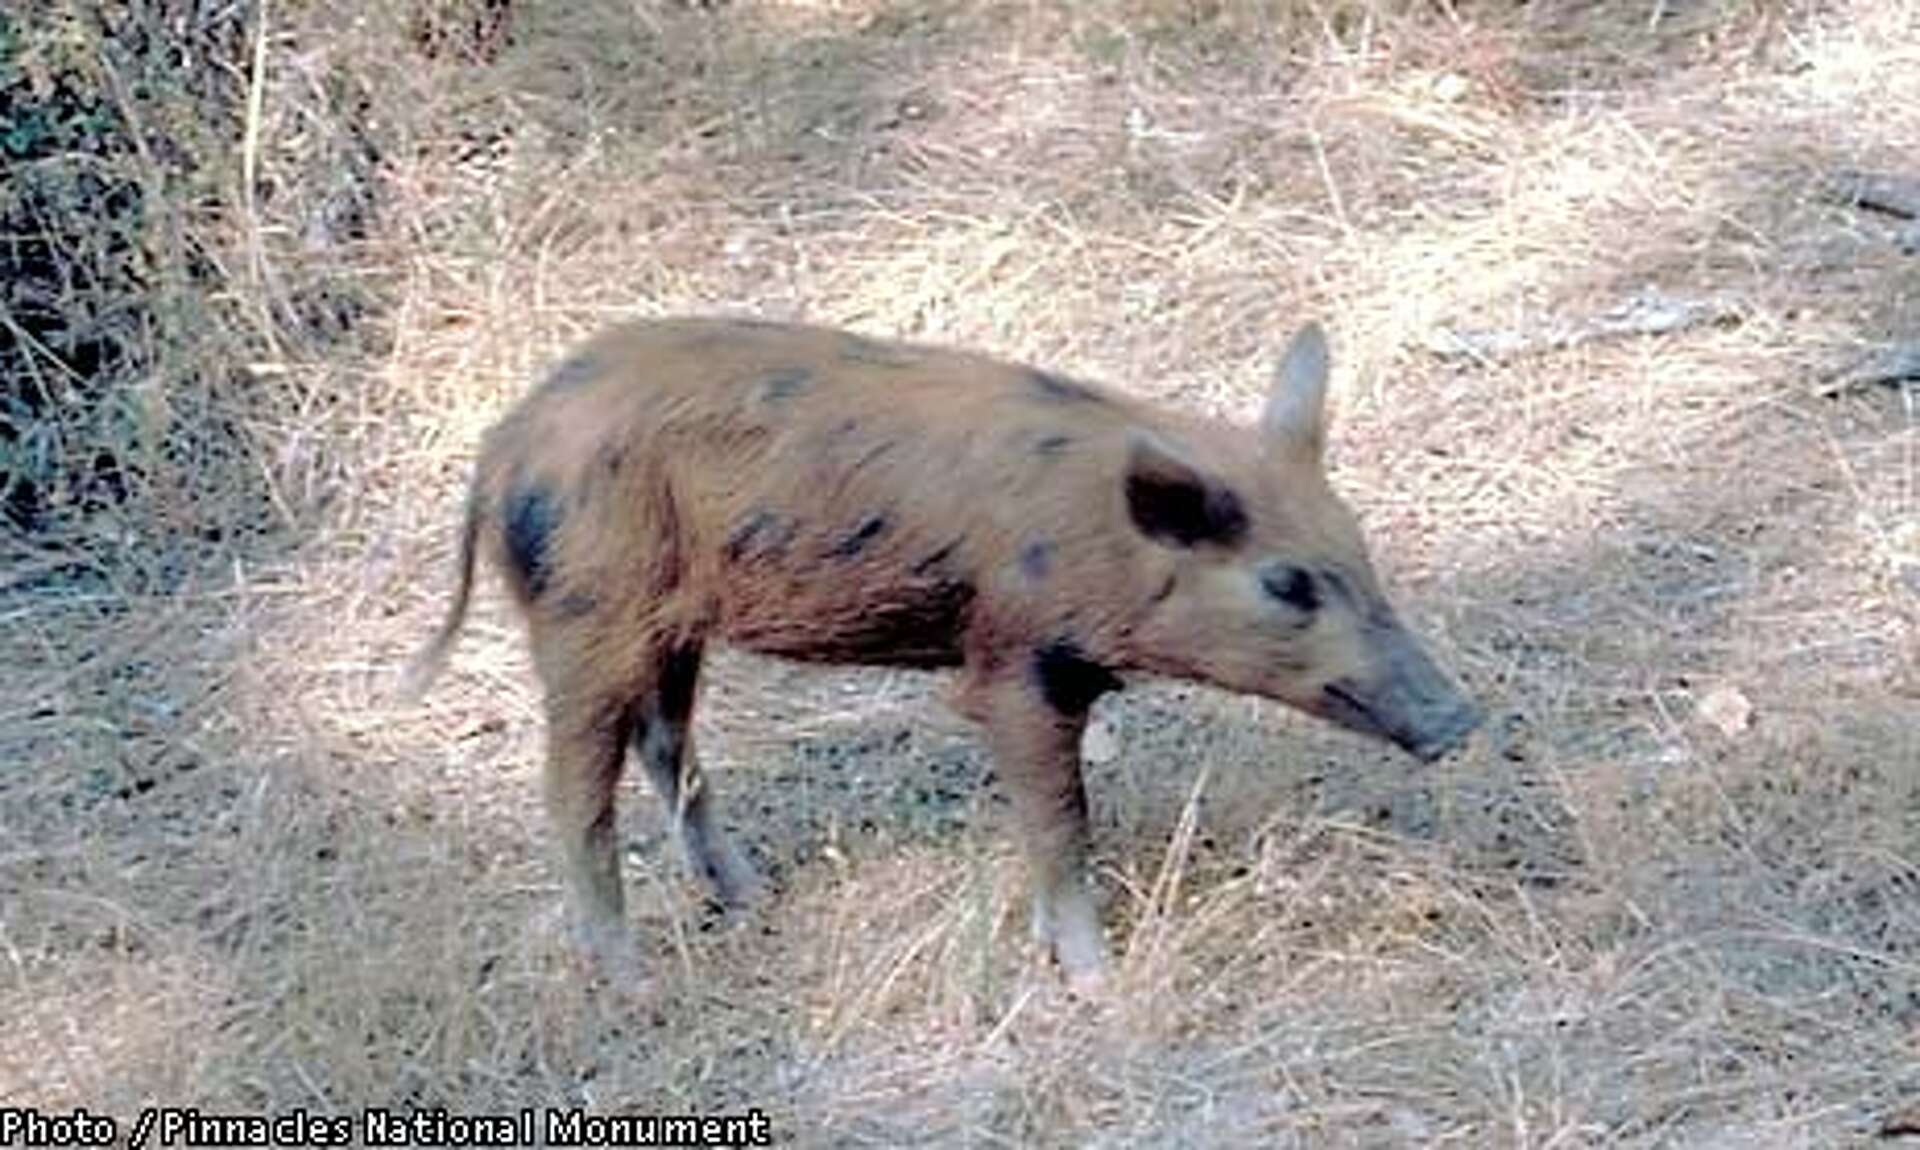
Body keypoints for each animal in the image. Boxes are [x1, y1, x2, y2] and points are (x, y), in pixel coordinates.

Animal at [403, 317, 1480, 991]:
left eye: (1360, 551)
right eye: (1287, 585)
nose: (1462, 715)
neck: (1103, 543)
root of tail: (501, 449)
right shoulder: (1013, 664)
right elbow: (1060, 820)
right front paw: (1097, 979)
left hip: (666, 627)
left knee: (667, 747)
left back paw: (755, 899)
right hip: (585, 612)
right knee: (572, 793)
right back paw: (634, 984)